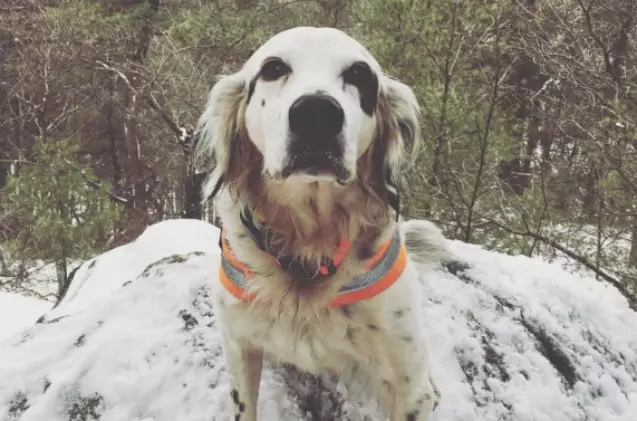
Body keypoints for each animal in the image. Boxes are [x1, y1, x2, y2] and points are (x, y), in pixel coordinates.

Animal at [196, 27, 444, 420]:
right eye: (273, 68)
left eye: (359, 74)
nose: (316, 113)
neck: (308, 248)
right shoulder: (239, 348)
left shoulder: (409, 389)